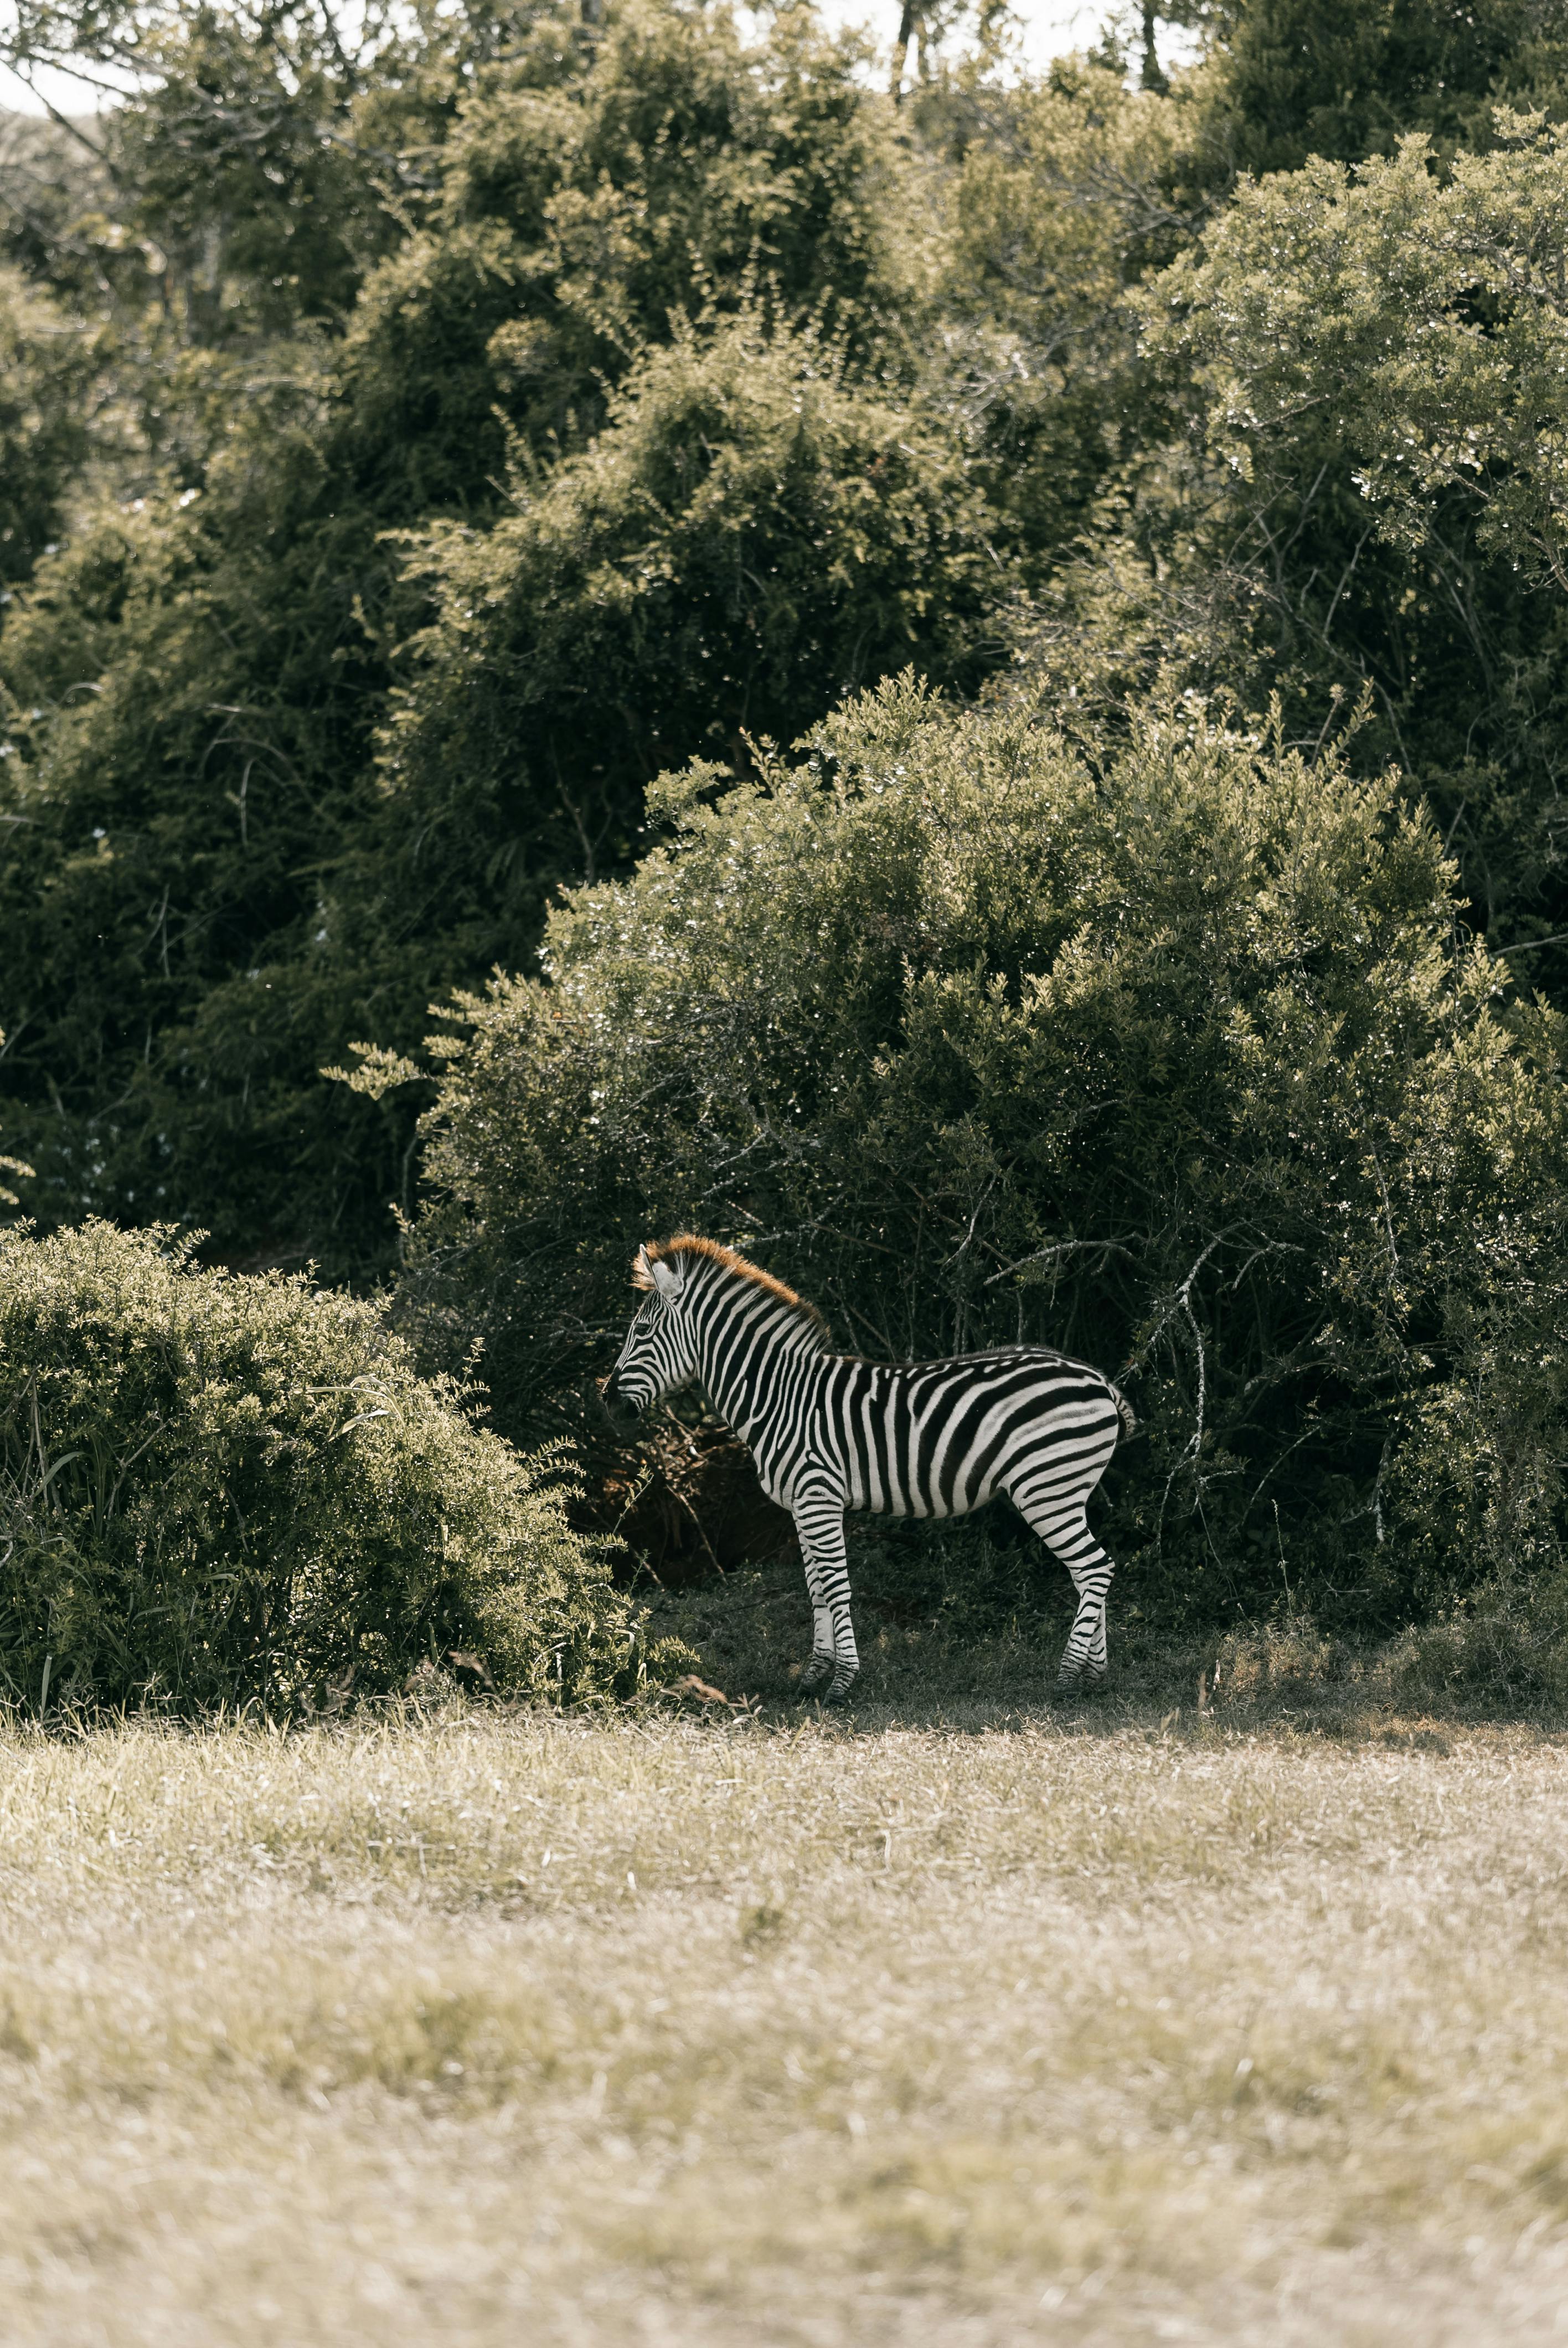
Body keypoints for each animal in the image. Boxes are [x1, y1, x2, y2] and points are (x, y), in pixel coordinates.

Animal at [603, 1235, 1133, 1703]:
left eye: (642, 1333)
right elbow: (815, 1588)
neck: (779, 1397)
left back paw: (1067, 1679)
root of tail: (1099, 1380)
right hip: (1068, 1490)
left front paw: (842, 1684)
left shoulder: (819, 1496)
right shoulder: (802, 1505)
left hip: (1046, 1489)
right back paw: (1095, 1677)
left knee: (1094, 1567)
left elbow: (837, 1587)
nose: (607, 1401)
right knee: (1092, 1572)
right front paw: (812, 1676)